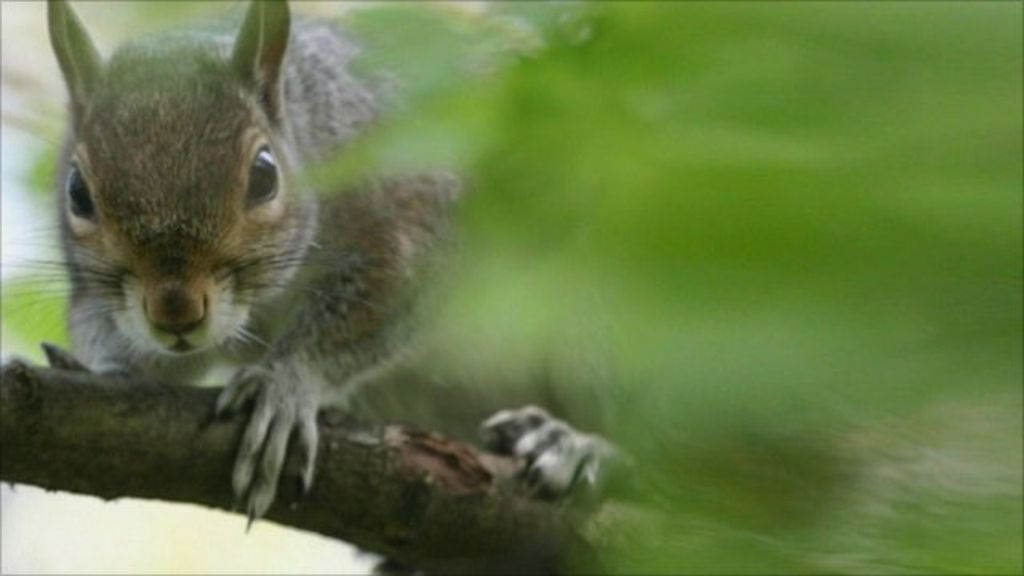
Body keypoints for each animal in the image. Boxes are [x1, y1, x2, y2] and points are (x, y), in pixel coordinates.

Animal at [48, 0, 617, 524]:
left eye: (264, 175)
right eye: (77, 192)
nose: (176, 312)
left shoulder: (412, 218)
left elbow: (372, 308)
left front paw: (283, 384)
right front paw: (107, 366)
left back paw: (577, 444)